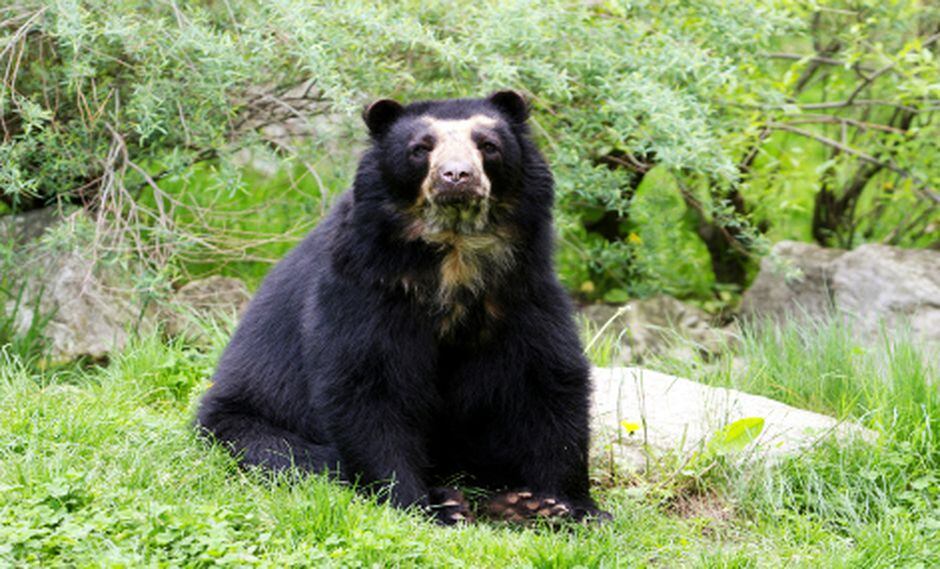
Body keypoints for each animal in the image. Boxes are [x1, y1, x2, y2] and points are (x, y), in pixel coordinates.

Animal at [196, 91, 609, 525]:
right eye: (420, 149)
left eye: (488, 146)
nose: (457, 176)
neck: (454, 255)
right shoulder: (365, 288)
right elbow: (369, 383)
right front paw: (423, 505)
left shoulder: (520, 288)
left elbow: (545, 381)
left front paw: (563, 505)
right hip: (243, 423)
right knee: (294, 456)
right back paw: (451, 497)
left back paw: (512, 504)